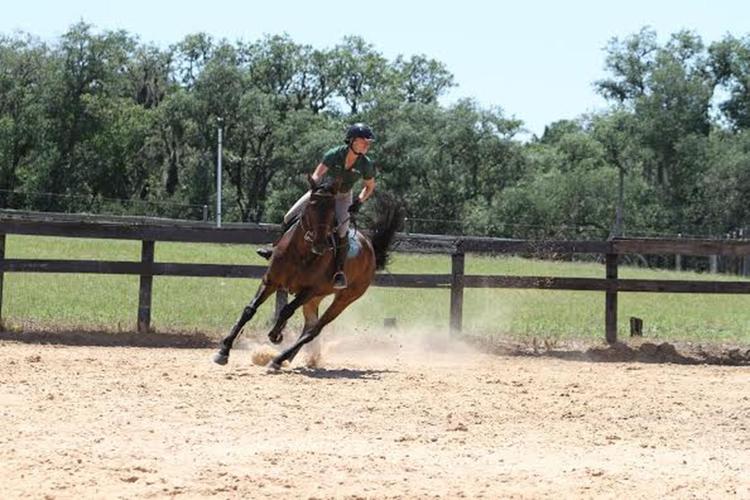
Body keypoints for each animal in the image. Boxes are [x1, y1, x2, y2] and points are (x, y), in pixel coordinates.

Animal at [213, 176, 403, 370]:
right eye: (311, 205)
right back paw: (284, 358)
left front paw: (276, 334)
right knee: (309, 326)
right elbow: (249, 310)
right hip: (316, 298)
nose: (319, 243)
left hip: (343, 299)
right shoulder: (271, 281)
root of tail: (371, 247)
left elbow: (286, 310)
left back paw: (279, 358)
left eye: (332, 210)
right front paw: (223, 351)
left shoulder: (309, 291)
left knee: (314, 330)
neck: (300, 253)